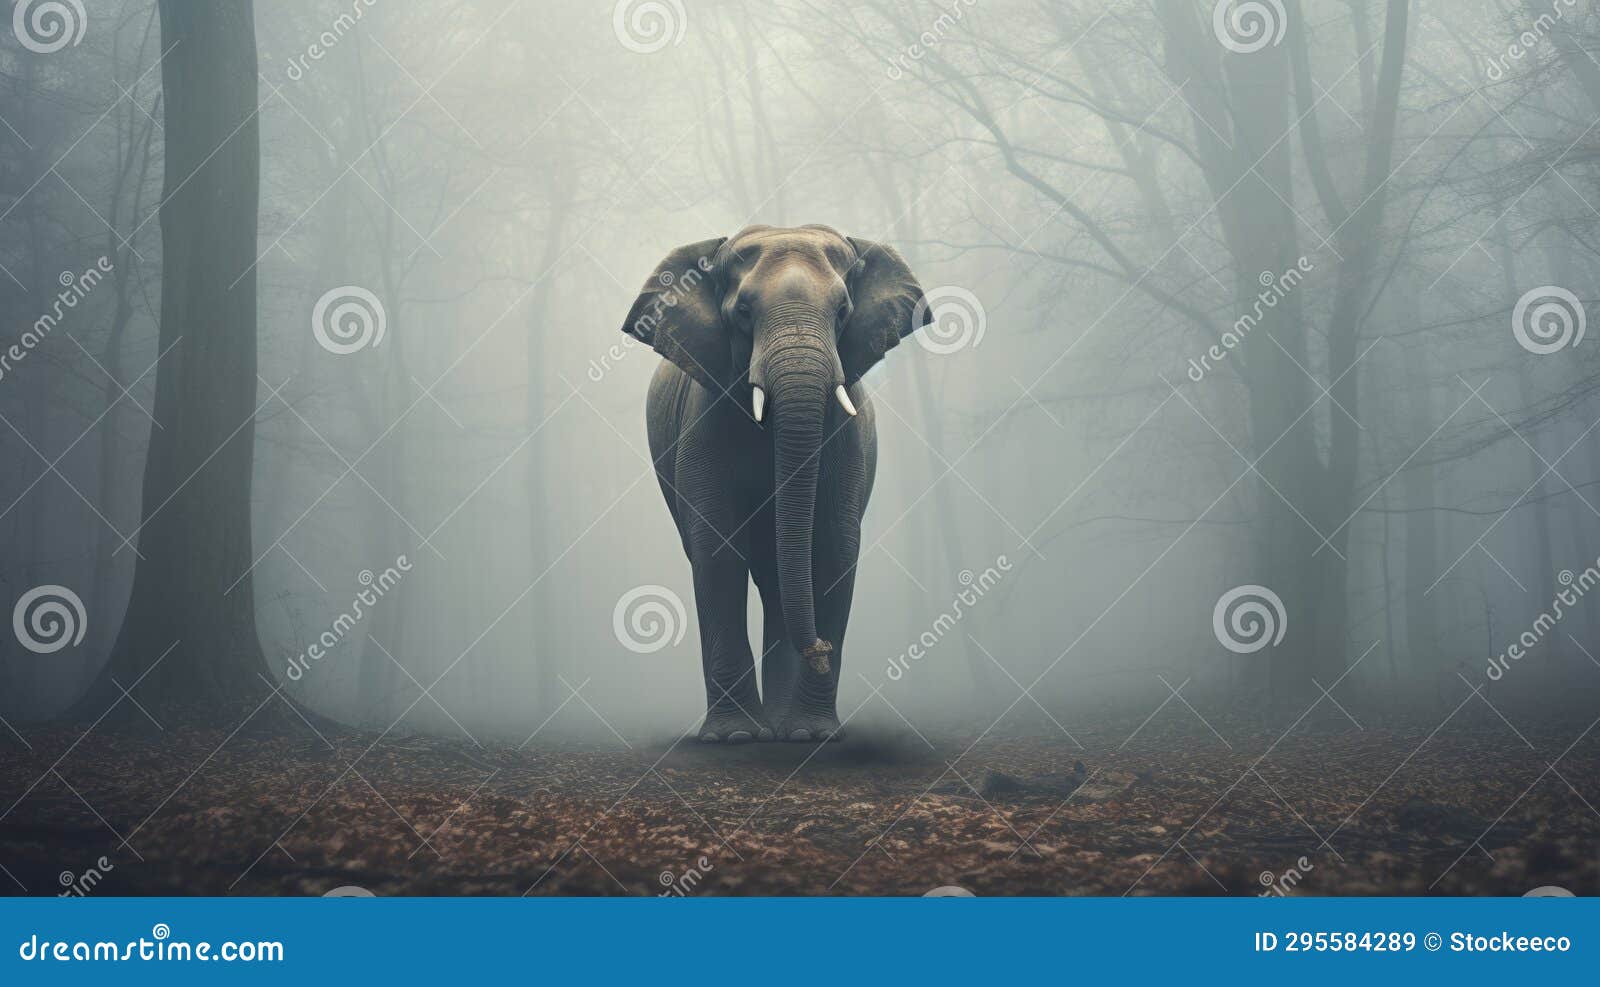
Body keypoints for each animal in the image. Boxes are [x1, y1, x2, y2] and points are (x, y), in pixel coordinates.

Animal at [618, 225, 931, 743]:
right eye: (743, 312)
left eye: (842, 311)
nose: (820, 650)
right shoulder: (704, 424)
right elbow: (716, 551)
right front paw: (734, 738)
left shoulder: (846, 440)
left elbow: (833, 549)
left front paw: (814, 735)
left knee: (779, 576)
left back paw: (785, 730)